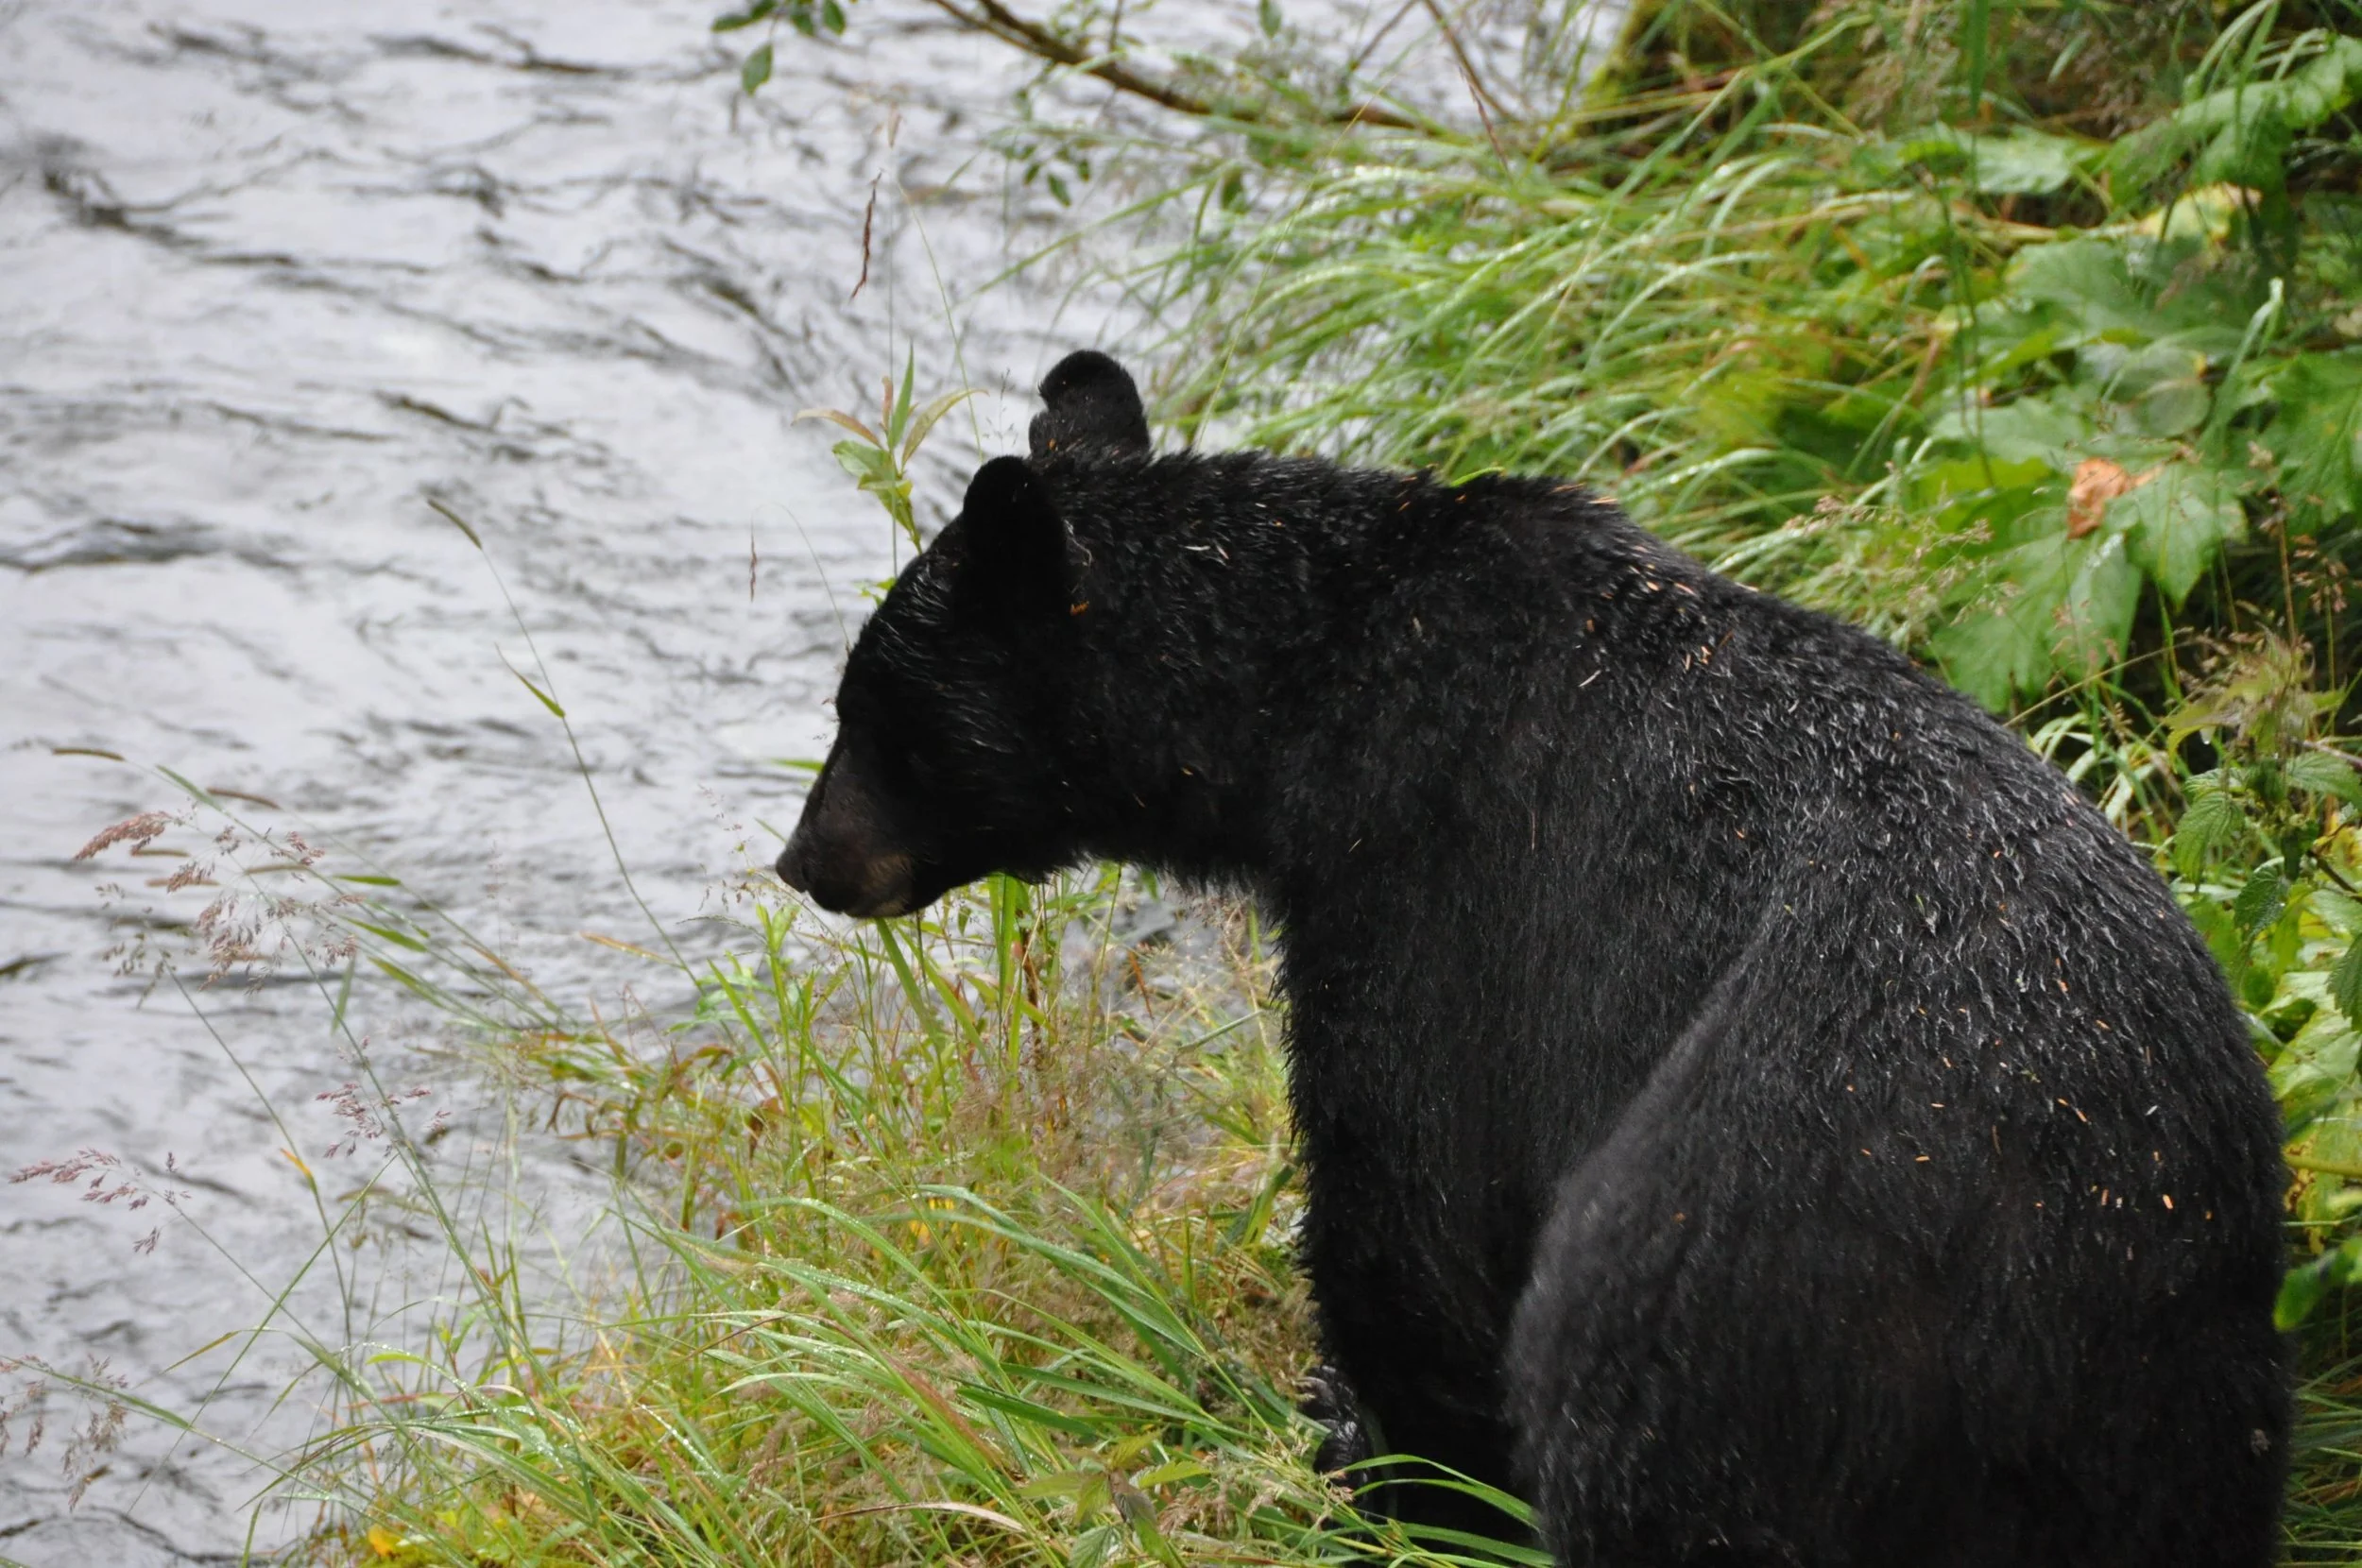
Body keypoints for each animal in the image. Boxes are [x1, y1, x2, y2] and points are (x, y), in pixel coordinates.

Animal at [777, 350, 2292, 1565]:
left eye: (870, 711)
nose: (802, 860)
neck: (1323, 697)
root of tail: (2047, 1245)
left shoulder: (1435, 898)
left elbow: (1411, 1204)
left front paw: (1369, 1458)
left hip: (1718, 1282)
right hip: (2183, 1388)